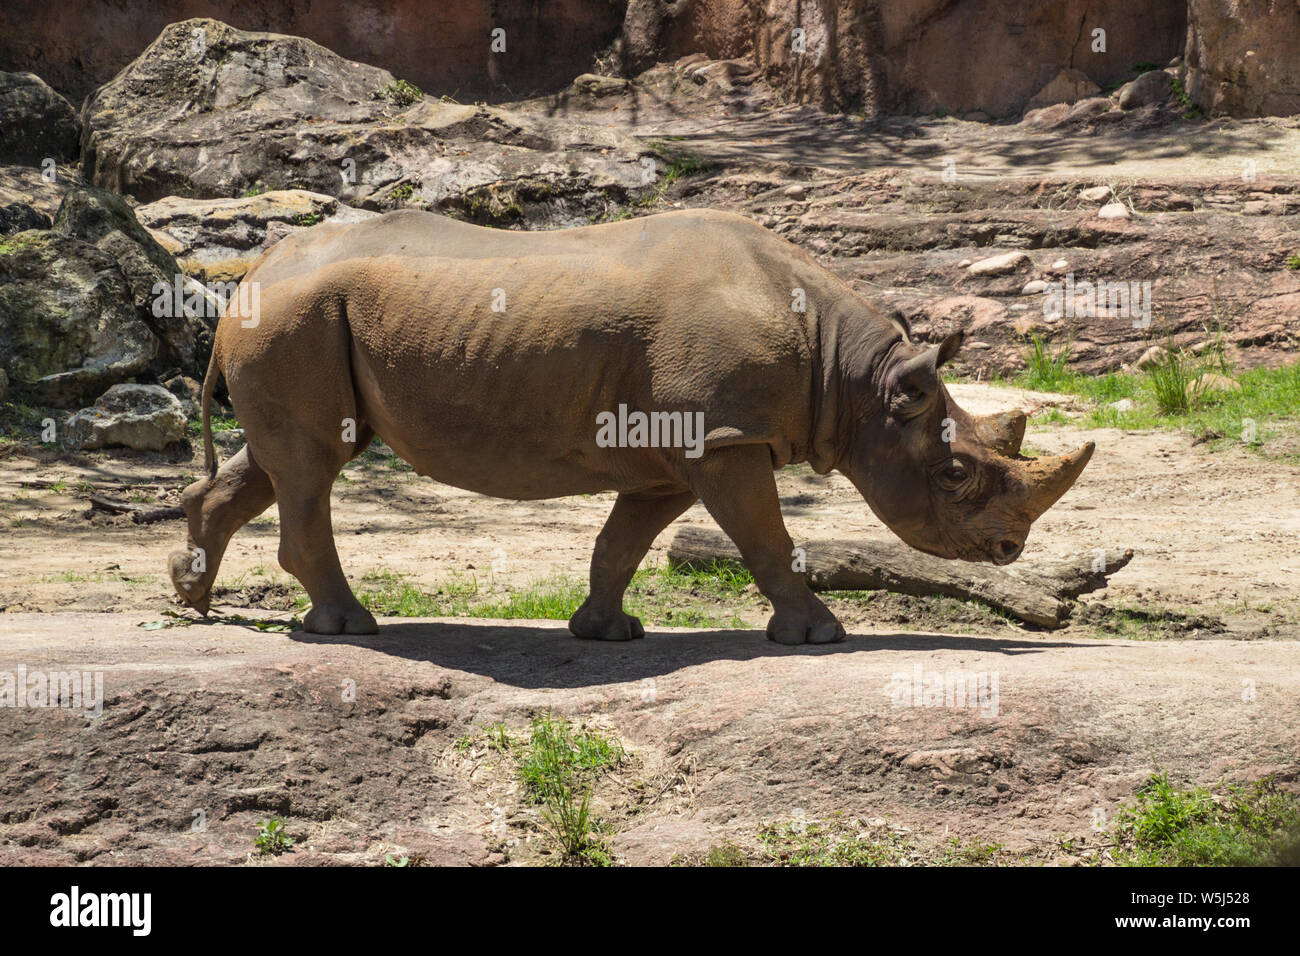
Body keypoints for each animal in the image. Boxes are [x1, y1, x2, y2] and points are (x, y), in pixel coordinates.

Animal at [170, 208, 1093, 643]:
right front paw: (821, 636)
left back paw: (194, 599)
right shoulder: (725, 439)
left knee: (291, 460)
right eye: (954, 476)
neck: (852, 378)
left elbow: (623, 542)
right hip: (297, 317)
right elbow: (767, 539)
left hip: (304, 317)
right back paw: (347, 626)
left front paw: (607, 631)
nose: (1010, 549)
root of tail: (251, 274)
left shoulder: (680, 452)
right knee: (314, 464)